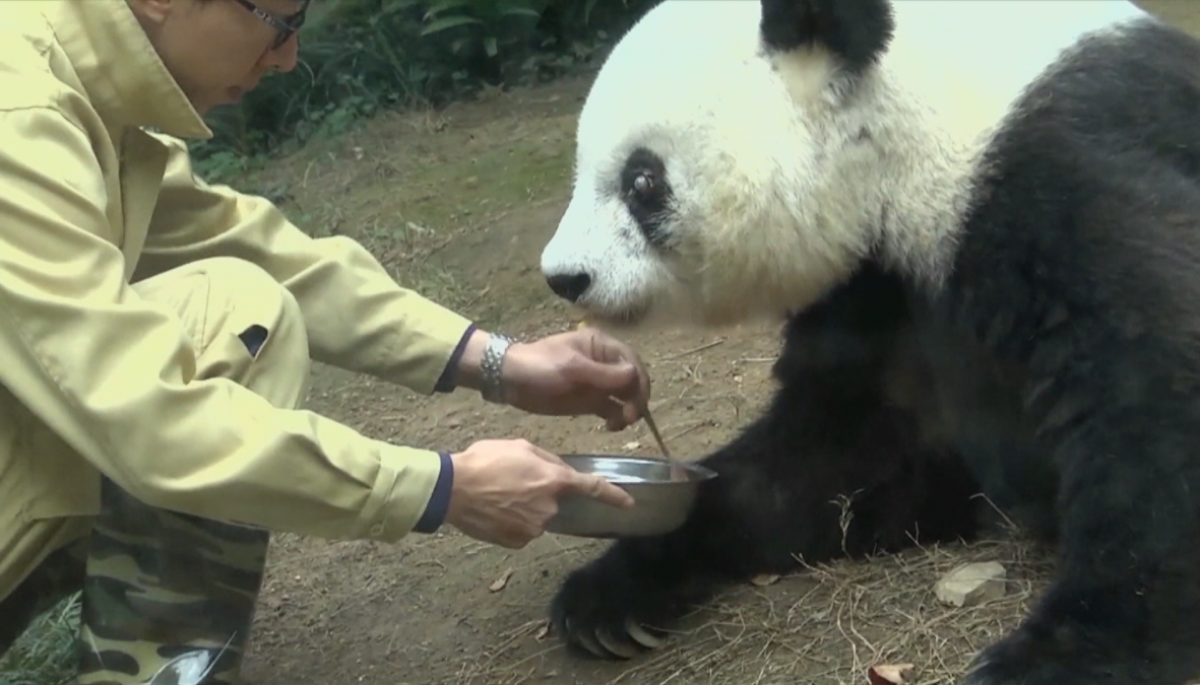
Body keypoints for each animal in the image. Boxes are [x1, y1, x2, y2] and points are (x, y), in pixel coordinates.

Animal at [538, 0, 1200, 683]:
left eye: (642, 180)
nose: (565, 276)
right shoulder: (875, 285)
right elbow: (842, 454)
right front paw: (611, 593)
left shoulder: (1056, 170)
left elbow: (1152, 385)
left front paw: (1065, 650)